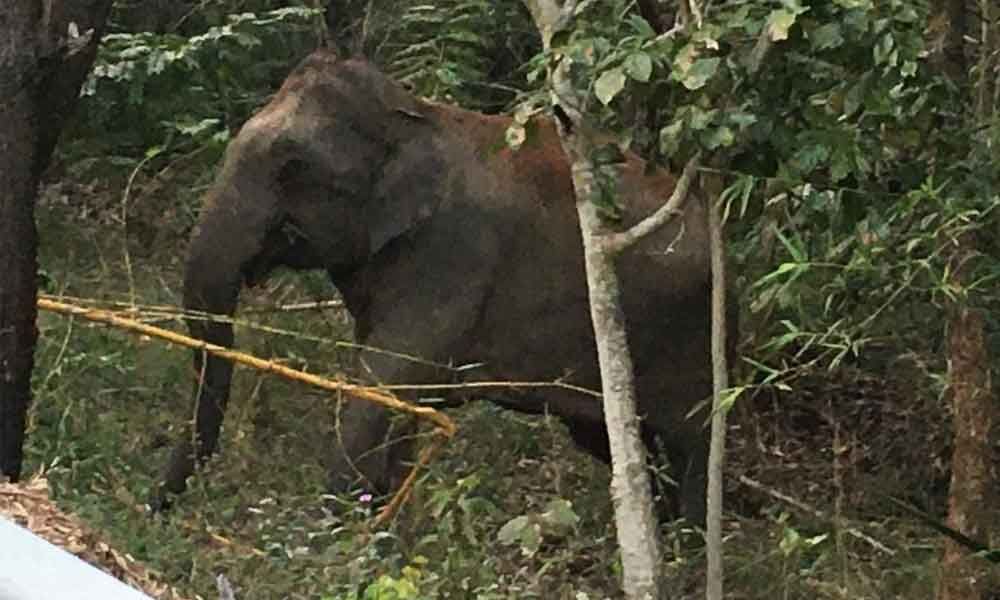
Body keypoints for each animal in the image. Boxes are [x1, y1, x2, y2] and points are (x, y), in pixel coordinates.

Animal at [156, 48, 722, 525]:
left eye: (292, 166)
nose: (156, 509)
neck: (414, 115)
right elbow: (398, 397)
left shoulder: (455, 253)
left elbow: (386, 380)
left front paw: (331, 543)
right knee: (613, 439)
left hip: (693, 339)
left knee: (692, 446)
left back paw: (688, 549)